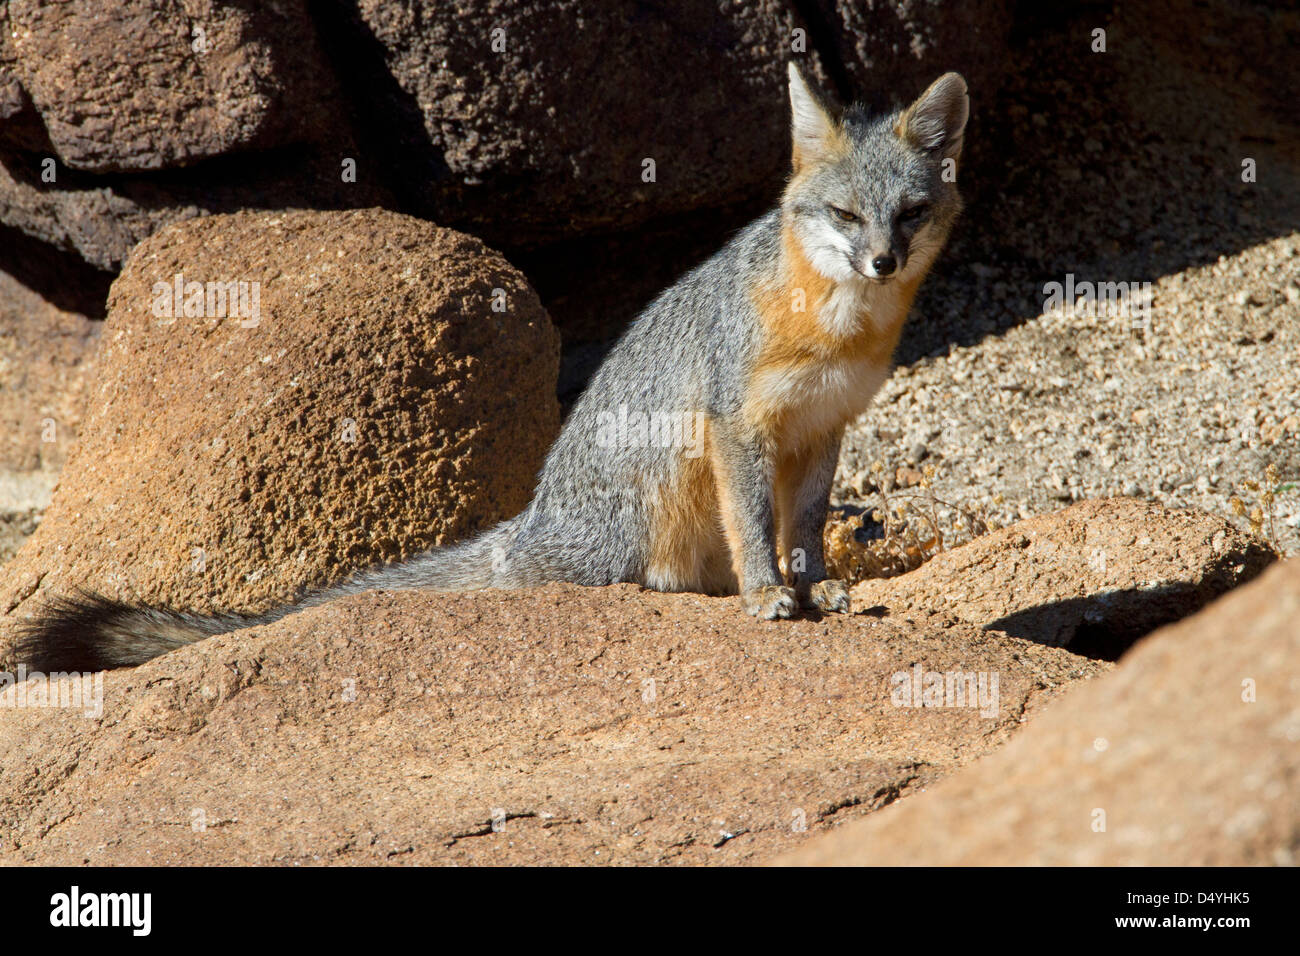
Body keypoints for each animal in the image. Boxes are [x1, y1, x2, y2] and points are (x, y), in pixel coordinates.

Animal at [16, 63, 969, 672]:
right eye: (845, 215)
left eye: (910, 213)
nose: (882, 261)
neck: (834, 331)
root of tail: (530, 523)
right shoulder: (738, 426)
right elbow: (754, 524)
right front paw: (769, 595)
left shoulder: (823, 428)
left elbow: (802, 527)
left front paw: (817, 589)